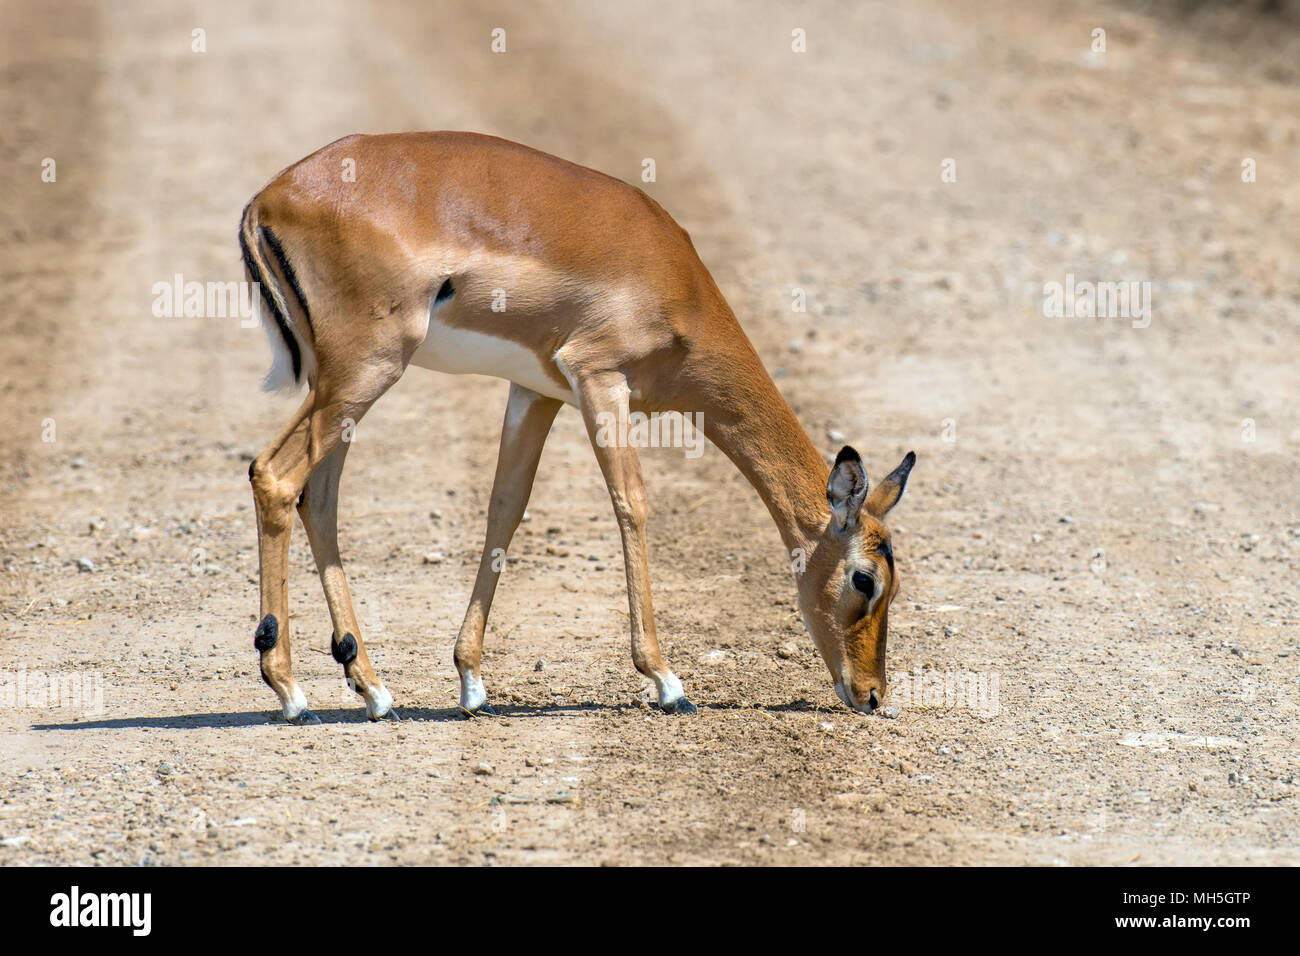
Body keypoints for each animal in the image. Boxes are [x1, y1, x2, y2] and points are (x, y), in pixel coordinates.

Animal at [239, 132, 915, 724]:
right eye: (866, 578)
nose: (871, 694)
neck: (677, 281)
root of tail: (268, 197)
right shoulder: (597, 377)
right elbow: (632, 504)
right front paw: (667, 681)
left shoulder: (536, 391)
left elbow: (505, 508)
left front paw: (472, 682)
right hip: (368, 369)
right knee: (274, 475)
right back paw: (290, 691)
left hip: (343, 384)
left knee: (319, 498)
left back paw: (374, 690)